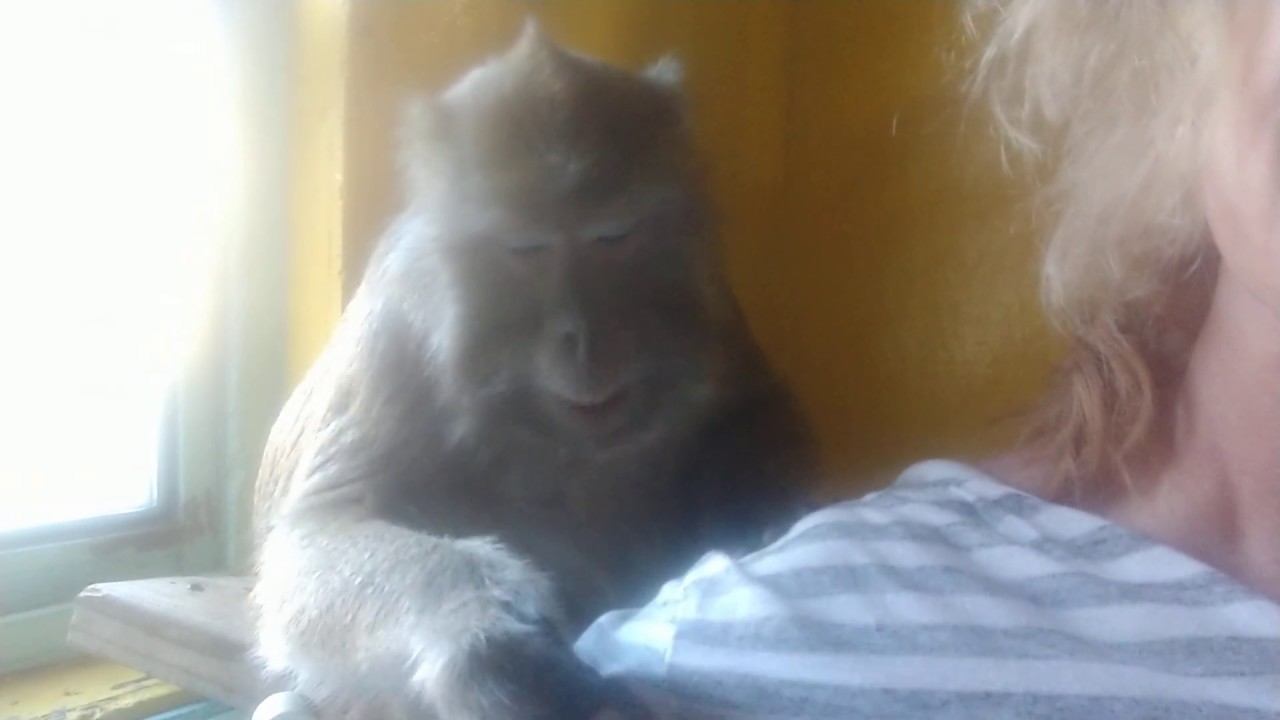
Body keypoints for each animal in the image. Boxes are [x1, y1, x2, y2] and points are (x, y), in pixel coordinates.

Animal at [250, 22, 818, 720]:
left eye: (613, 237)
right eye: (526, 249)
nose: (586, 334)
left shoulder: (710, 296)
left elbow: (755, 414)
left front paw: (764, 516)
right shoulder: (398, 335)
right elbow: (318, 531)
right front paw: (483, 629)